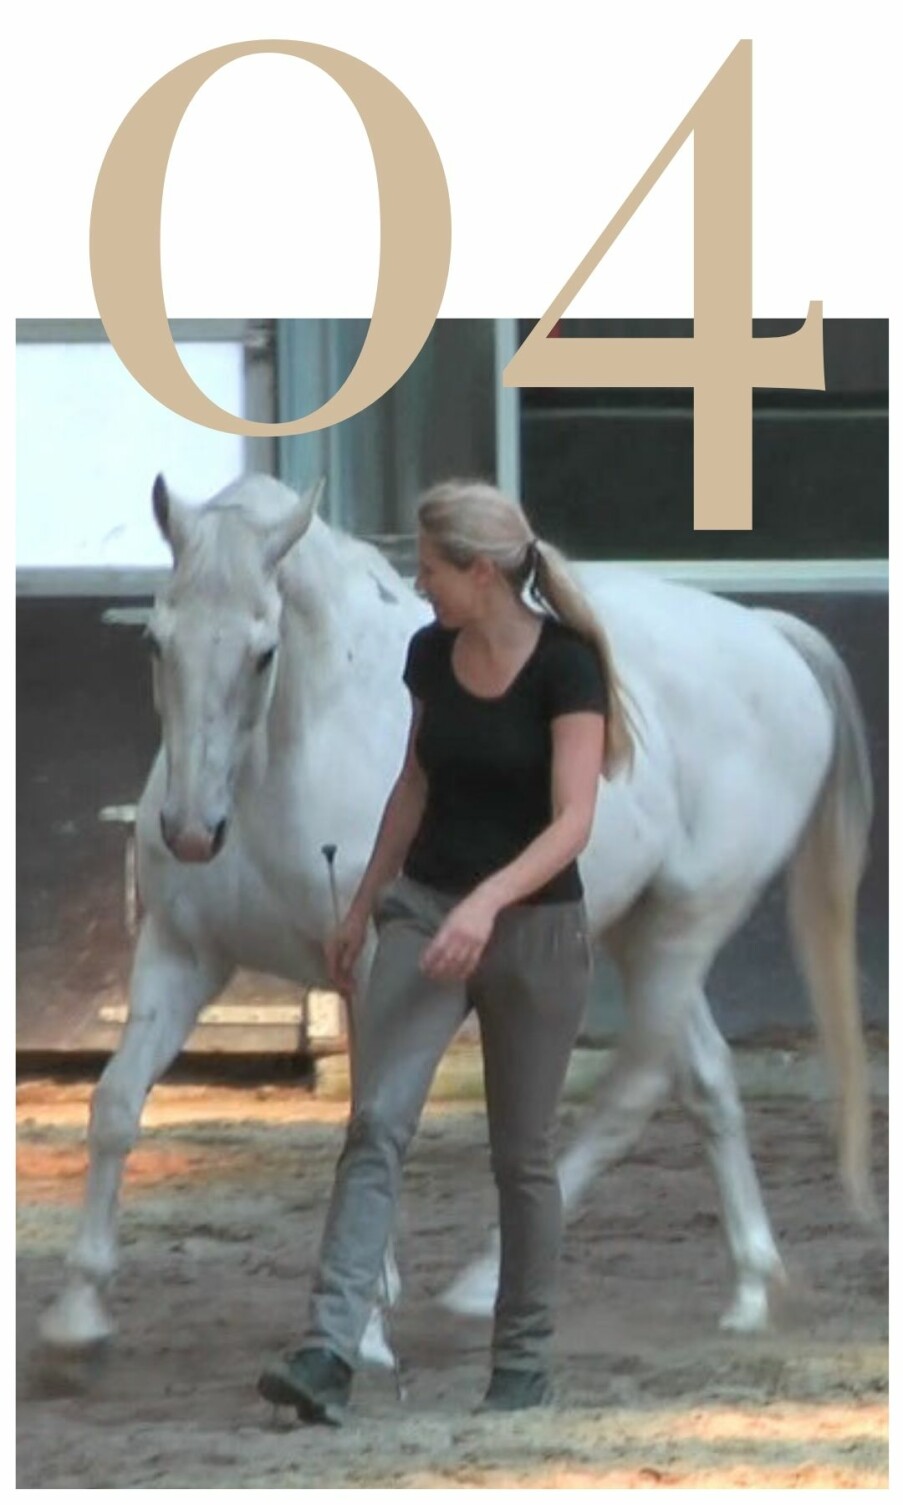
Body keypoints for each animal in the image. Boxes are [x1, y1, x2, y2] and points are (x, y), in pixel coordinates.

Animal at [39, 472, 875, 1370]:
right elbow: (116, 1104)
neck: (297, 743)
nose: (192, 833)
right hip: (637, 930)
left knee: (638, 1084)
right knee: (707, 1080)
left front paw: (367, 1325)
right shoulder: (182, 952)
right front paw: (77, 1311)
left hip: (684, 923)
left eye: (263, 650)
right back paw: (750, 1288)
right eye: (156, 640)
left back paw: (485, 1282)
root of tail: (767, 635)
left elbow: (371, 1121)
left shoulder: (376, 966)